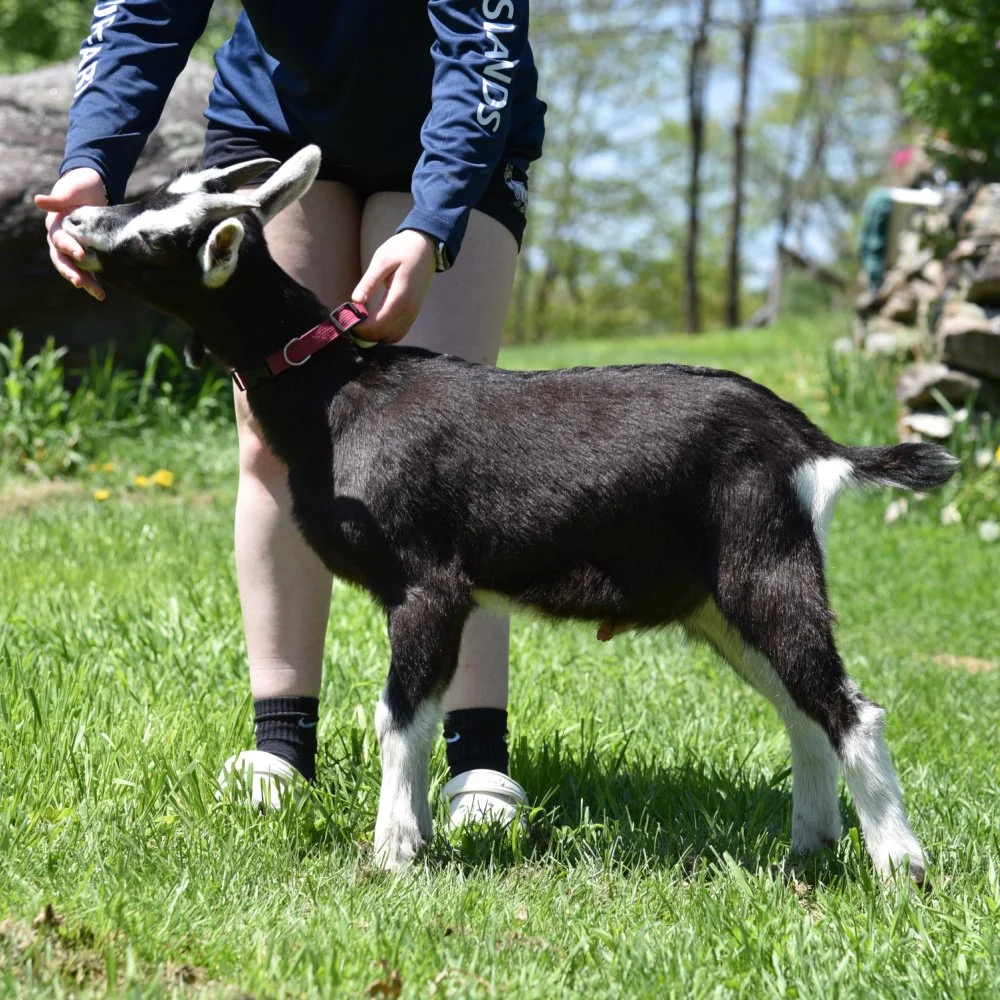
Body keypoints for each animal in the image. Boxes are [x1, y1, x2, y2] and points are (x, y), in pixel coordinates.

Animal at [60, 146, 957, 881]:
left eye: (164, 239)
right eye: (157, 194)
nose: (74, 219)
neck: (337, 396)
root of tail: (808, 440)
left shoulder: (427, 586)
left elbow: (398, 717)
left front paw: (393, 851)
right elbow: (413, 716)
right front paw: (413, 836)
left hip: (766, 569)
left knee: (852, 710)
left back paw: (900, 867)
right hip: (717, 602)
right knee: (803, 713)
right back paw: (810, 848)